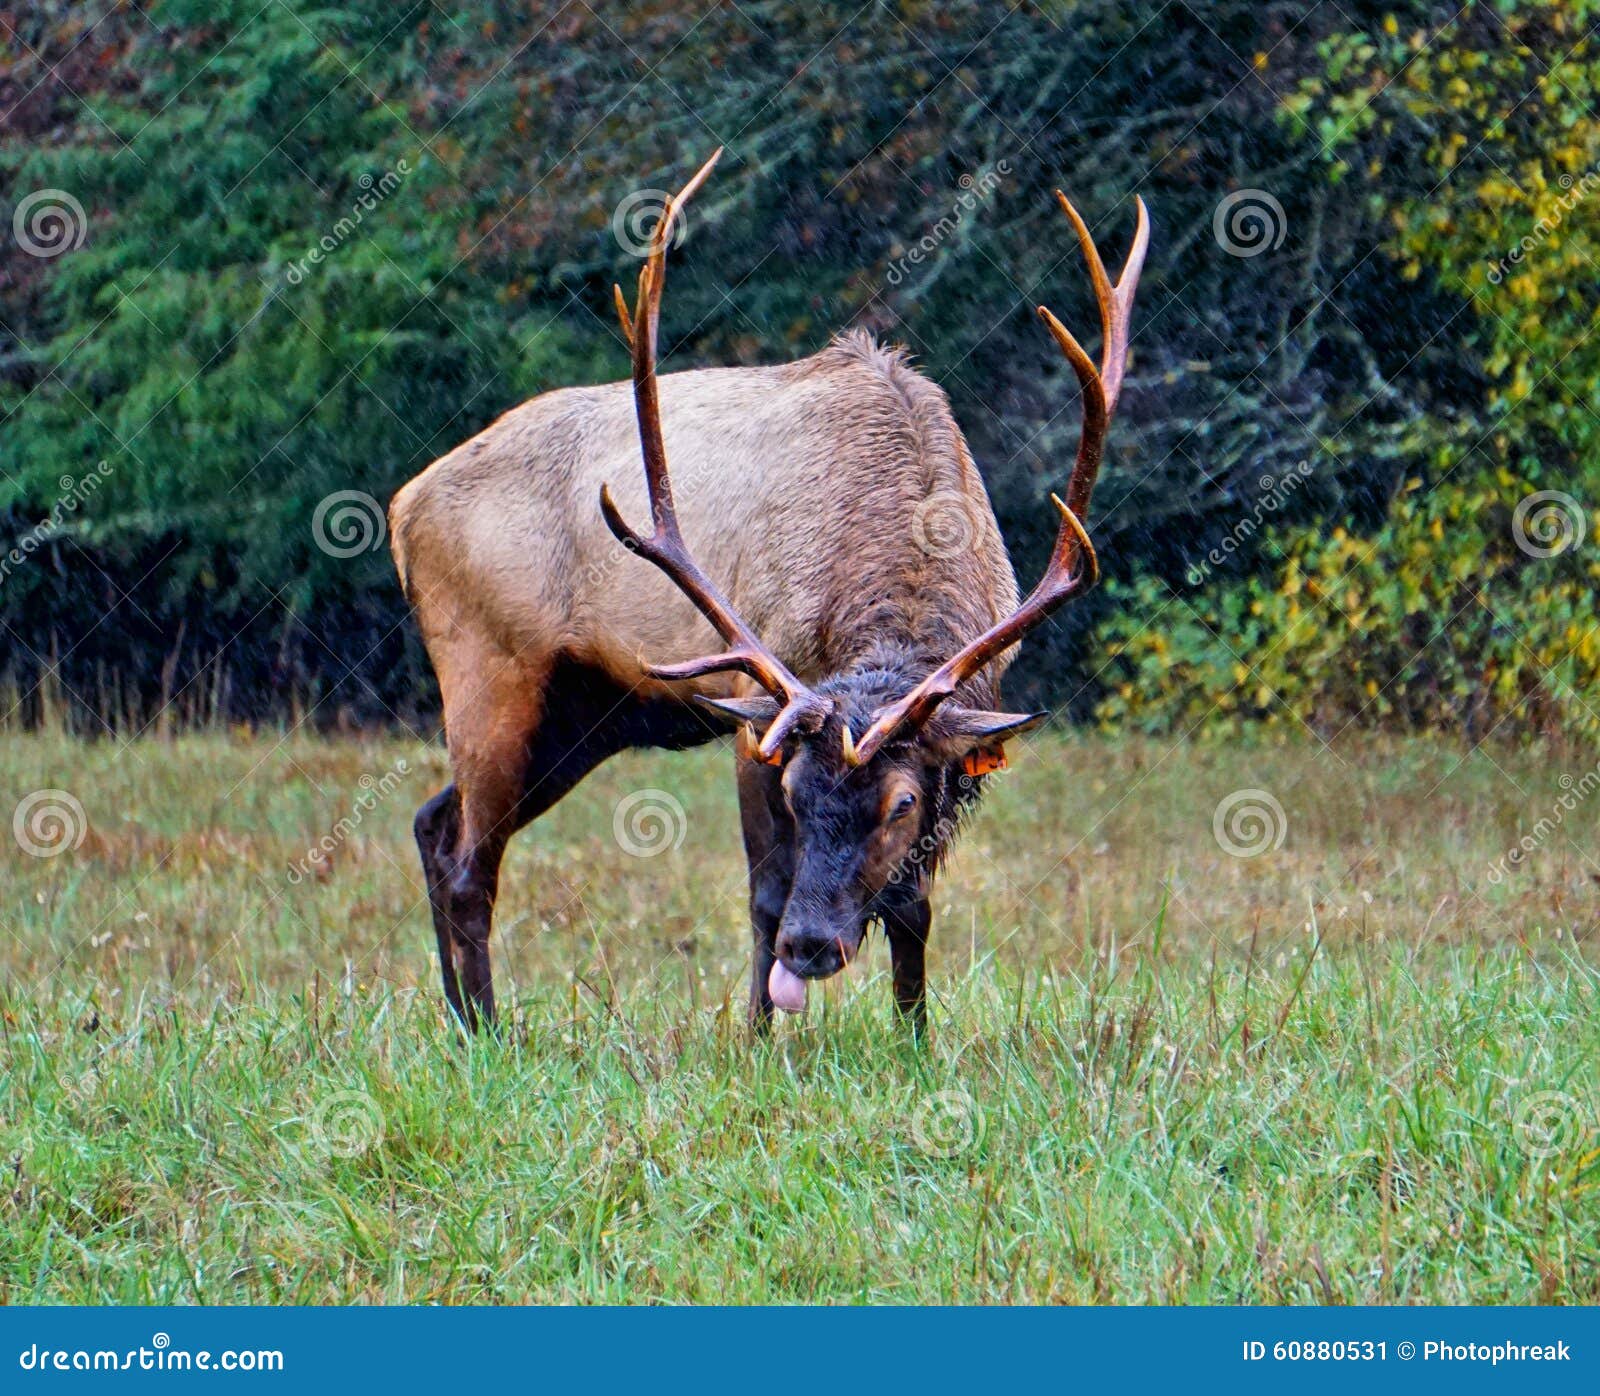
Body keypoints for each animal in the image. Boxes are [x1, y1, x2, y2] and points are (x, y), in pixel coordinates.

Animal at [388, 149, 1147, 1036]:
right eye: (793, 790)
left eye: (900, 805)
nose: (812, 947)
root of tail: (403, 509)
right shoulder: (759, 712)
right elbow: (762, 896)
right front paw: (753, 1040)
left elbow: (914, 911)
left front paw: (916, 1039)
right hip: (490, 669)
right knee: (471, 863)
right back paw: (487, 1032)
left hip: (587, 711)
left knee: (435, 821)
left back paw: (460, 1022)